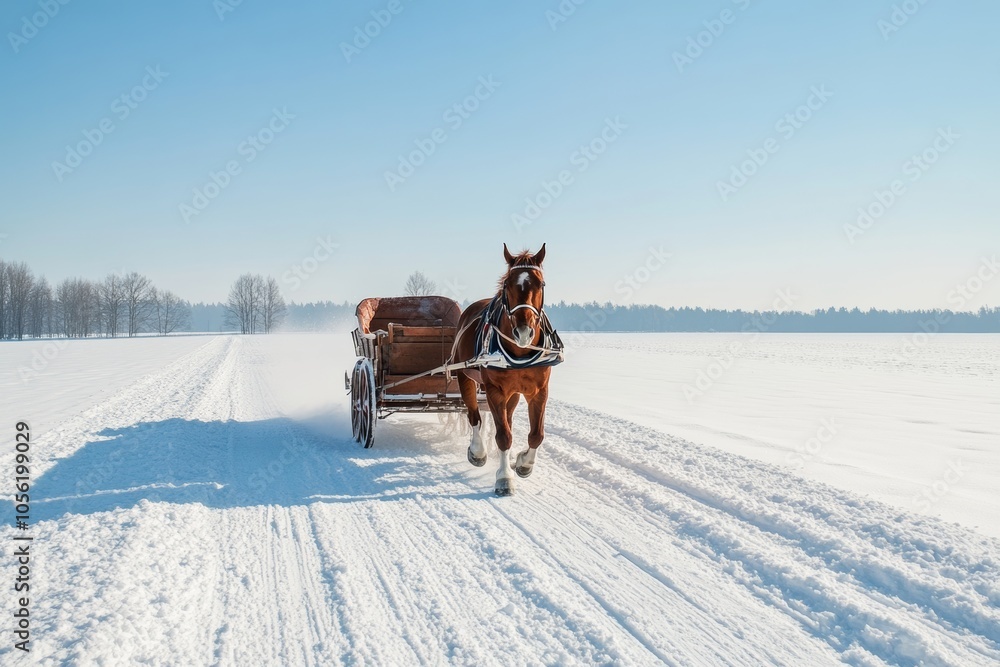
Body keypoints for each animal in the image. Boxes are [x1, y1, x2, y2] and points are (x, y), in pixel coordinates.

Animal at [451, 243, 559, 496]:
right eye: (507, 284)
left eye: (541, 283)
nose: (524, 331)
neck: (520, 352)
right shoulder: (495, 390)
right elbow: (503, 435)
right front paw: (504, 478)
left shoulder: (539, 391)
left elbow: (536, 435)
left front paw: (523, 463)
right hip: (465, 377)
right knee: (474, 416)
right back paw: (477, 451)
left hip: (513, 394)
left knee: (505, 418)